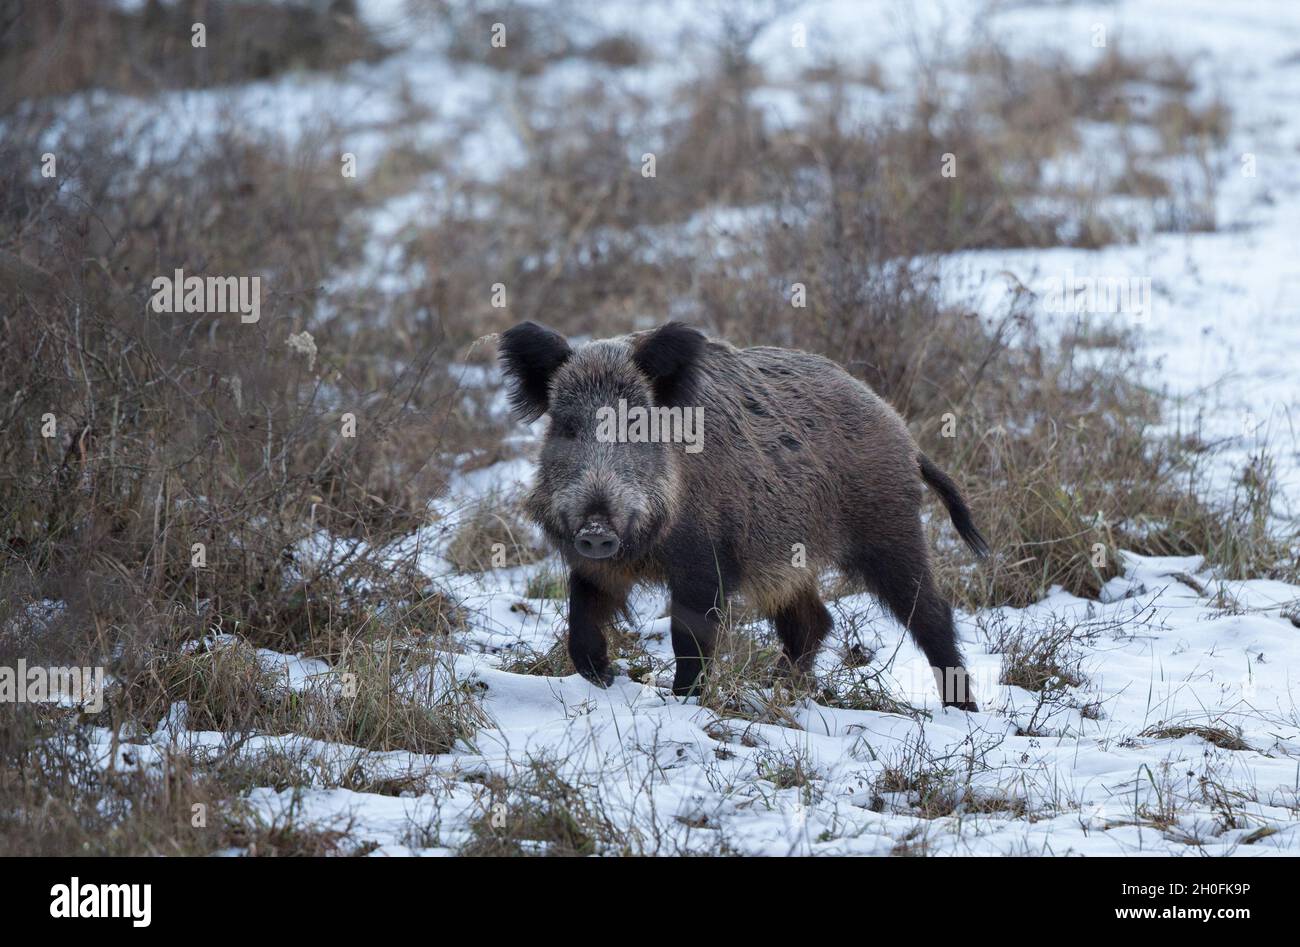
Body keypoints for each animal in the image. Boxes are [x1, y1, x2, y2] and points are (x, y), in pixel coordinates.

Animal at [498, 321, 987, 710]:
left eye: (636, 425)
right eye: (567, 426)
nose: (596, 528)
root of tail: (904, 435)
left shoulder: (707, 559)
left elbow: (689, 636)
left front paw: (684, 700)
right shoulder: (595, 563)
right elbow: (580, 617)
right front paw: (603, 677)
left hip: (889, 529)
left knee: (931, 614)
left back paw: (961, 710)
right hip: (790, 563)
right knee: (812, 621)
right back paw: (780, 689)